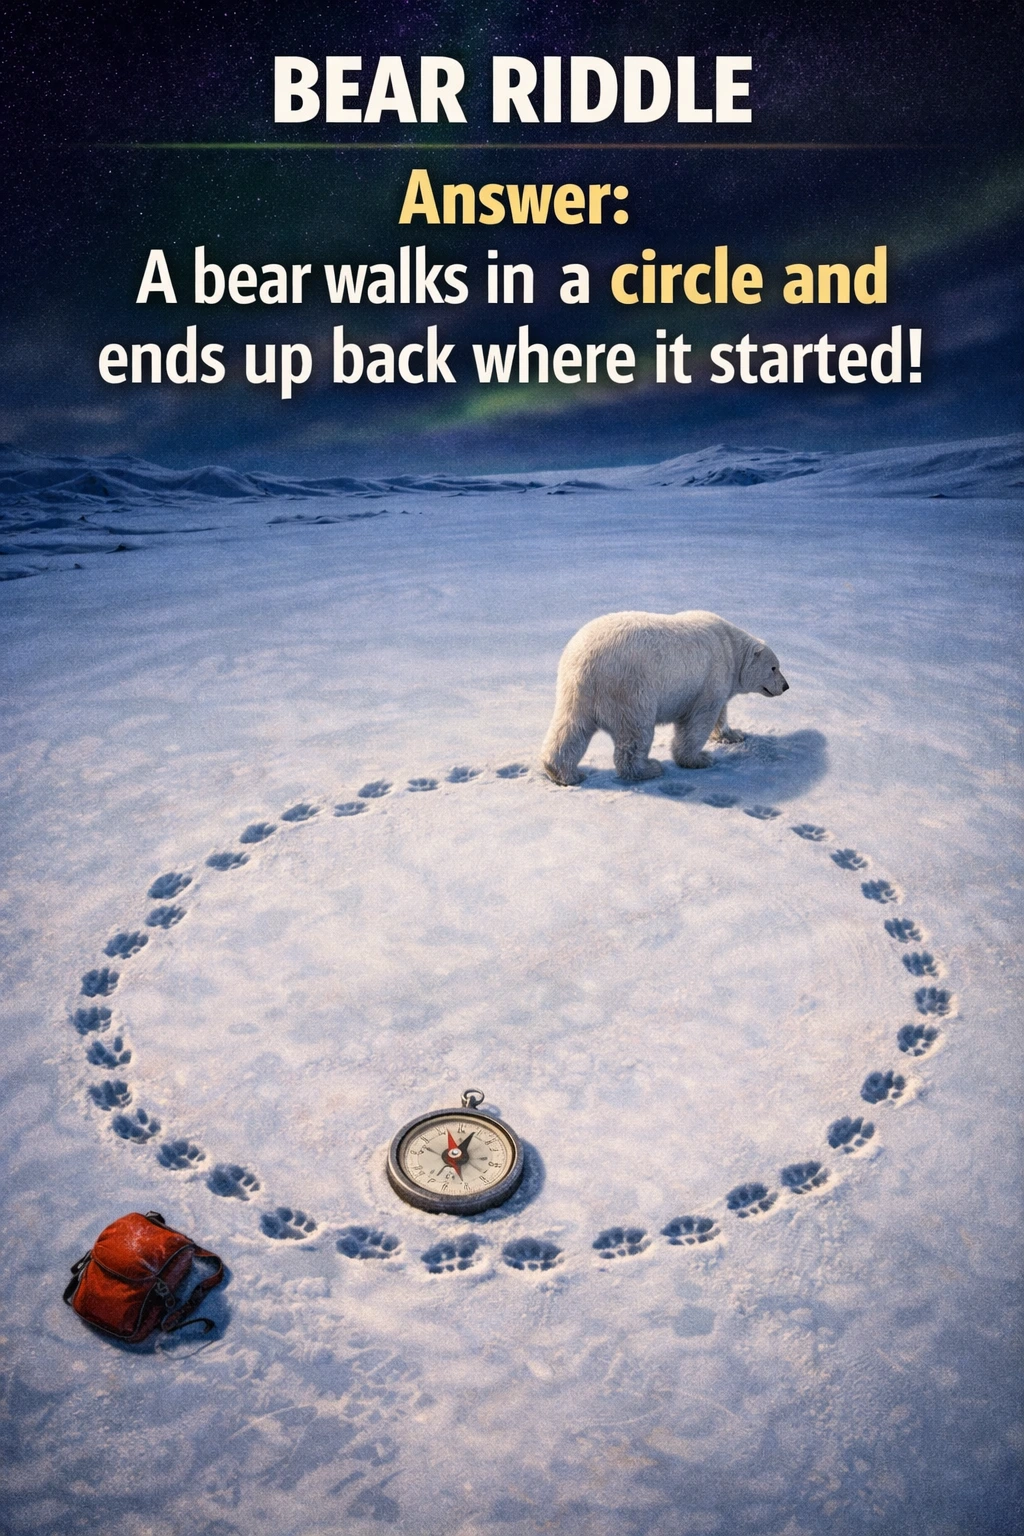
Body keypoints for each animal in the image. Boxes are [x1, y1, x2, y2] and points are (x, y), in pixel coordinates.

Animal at [539, 609, 789, 786]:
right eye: (774, 668)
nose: (786, 686)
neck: (730, 647)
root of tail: (583, 663)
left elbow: (720, 713)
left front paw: (733, 735)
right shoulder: (710, 677)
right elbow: (699, 720)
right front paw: (700, 759)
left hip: (577, 694)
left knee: (571, 728)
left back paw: (565, 773)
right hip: (630, 690)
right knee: (635, 735)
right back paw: (649, 769)